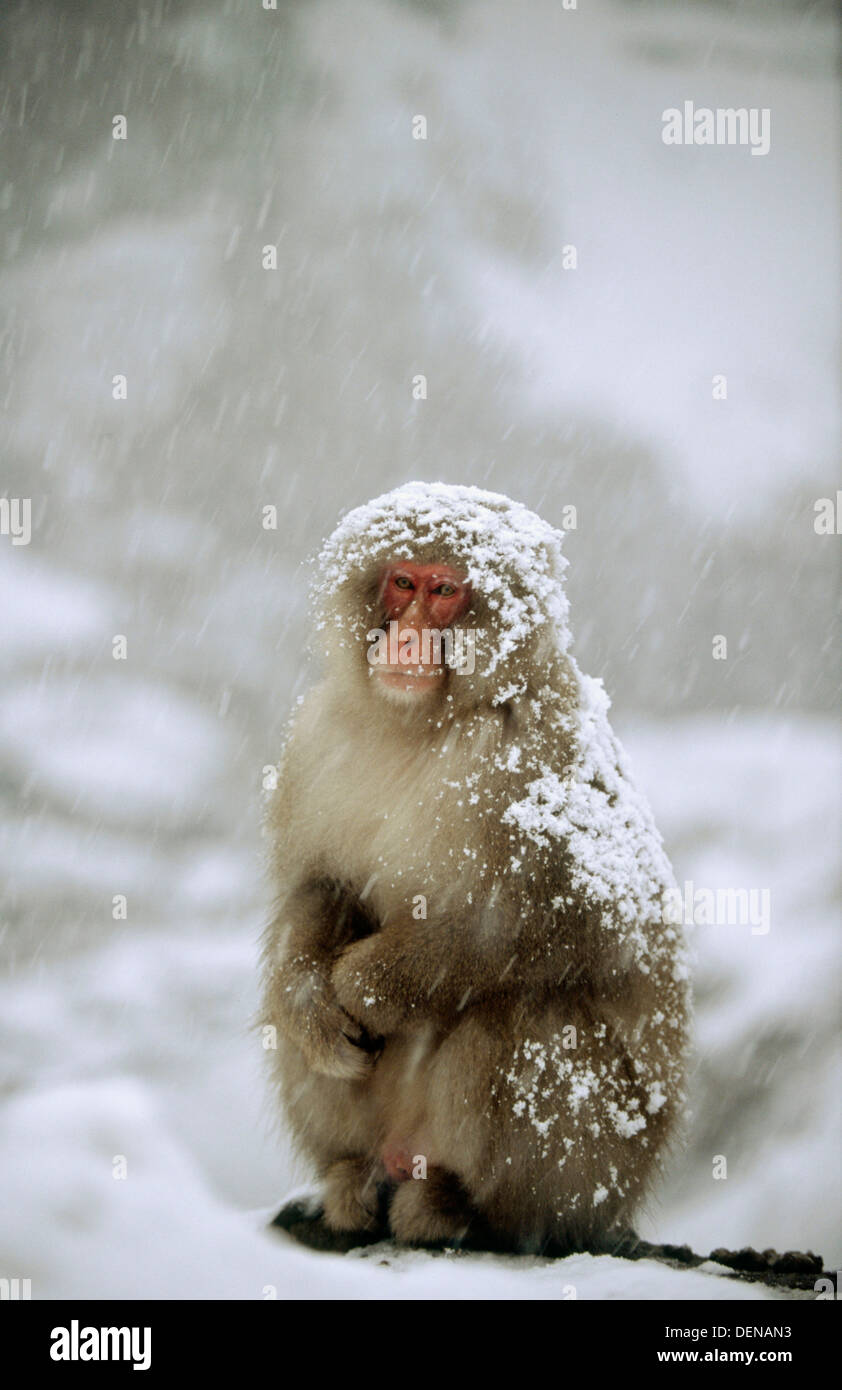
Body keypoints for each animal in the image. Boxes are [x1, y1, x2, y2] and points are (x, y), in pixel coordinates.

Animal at [260, 481, 690, 1253]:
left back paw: (465, 1207)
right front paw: (315, 1003)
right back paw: (349, 1177)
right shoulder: (316, 737)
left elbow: (577, 925)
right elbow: (318, 887)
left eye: (445, 591)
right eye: (402, 582)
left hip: (603, 1164)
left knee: (523, 1014)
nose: (405, 634)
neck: (420, 725)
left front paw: (364, 984)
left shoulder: (533, 755)